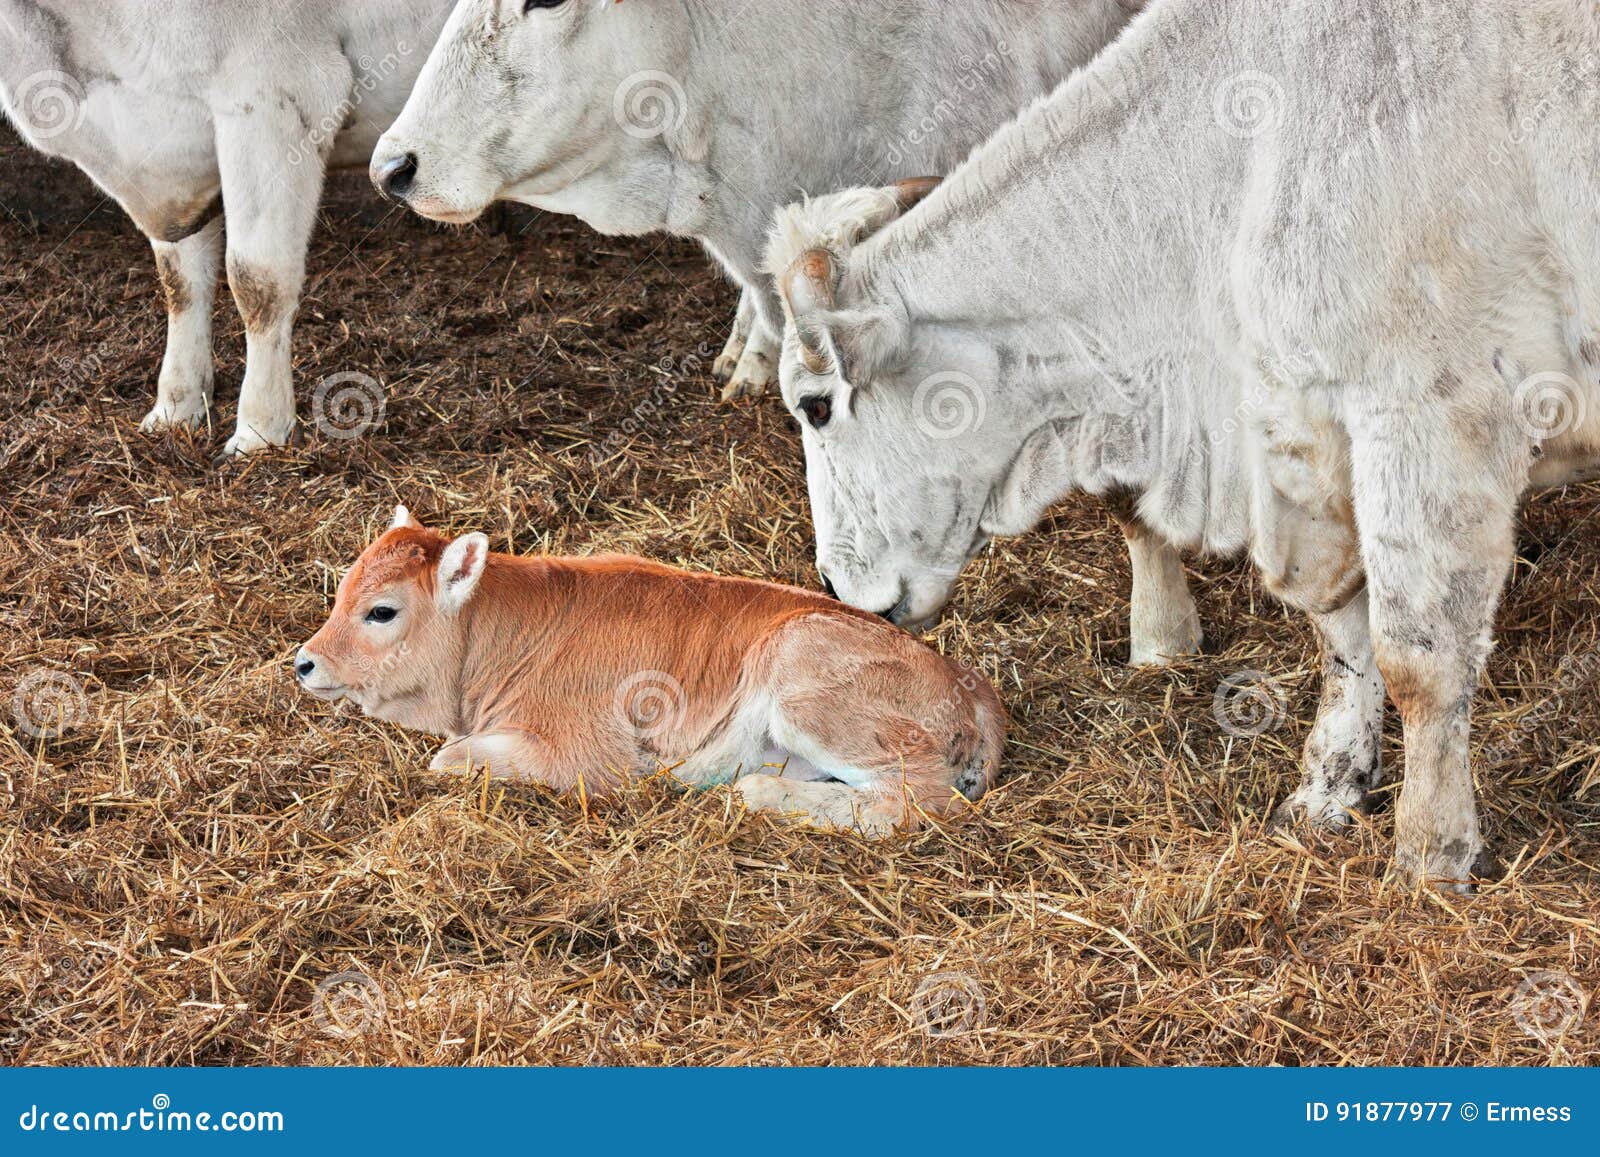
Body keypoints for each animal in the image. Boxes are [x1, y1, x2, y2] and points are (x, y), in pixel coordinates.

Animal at [294, 506, 1006, 835]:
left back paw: (758, 793)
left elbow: (449, 759)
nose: (304, 662)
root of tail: (973, 689)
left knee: (918, 798)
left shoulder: (587, 754)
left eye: (382, 611)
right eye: (341, 588)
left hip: (811, 689)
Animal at [762, 0, 1600, 889]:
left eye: (815, 405)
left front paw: (1431, 853)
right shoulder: (1306, 451)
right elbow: (1339, 626)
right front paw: (1329, 787)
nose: (829, 581)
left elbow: (1421, 657)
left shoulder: (1430, 417)